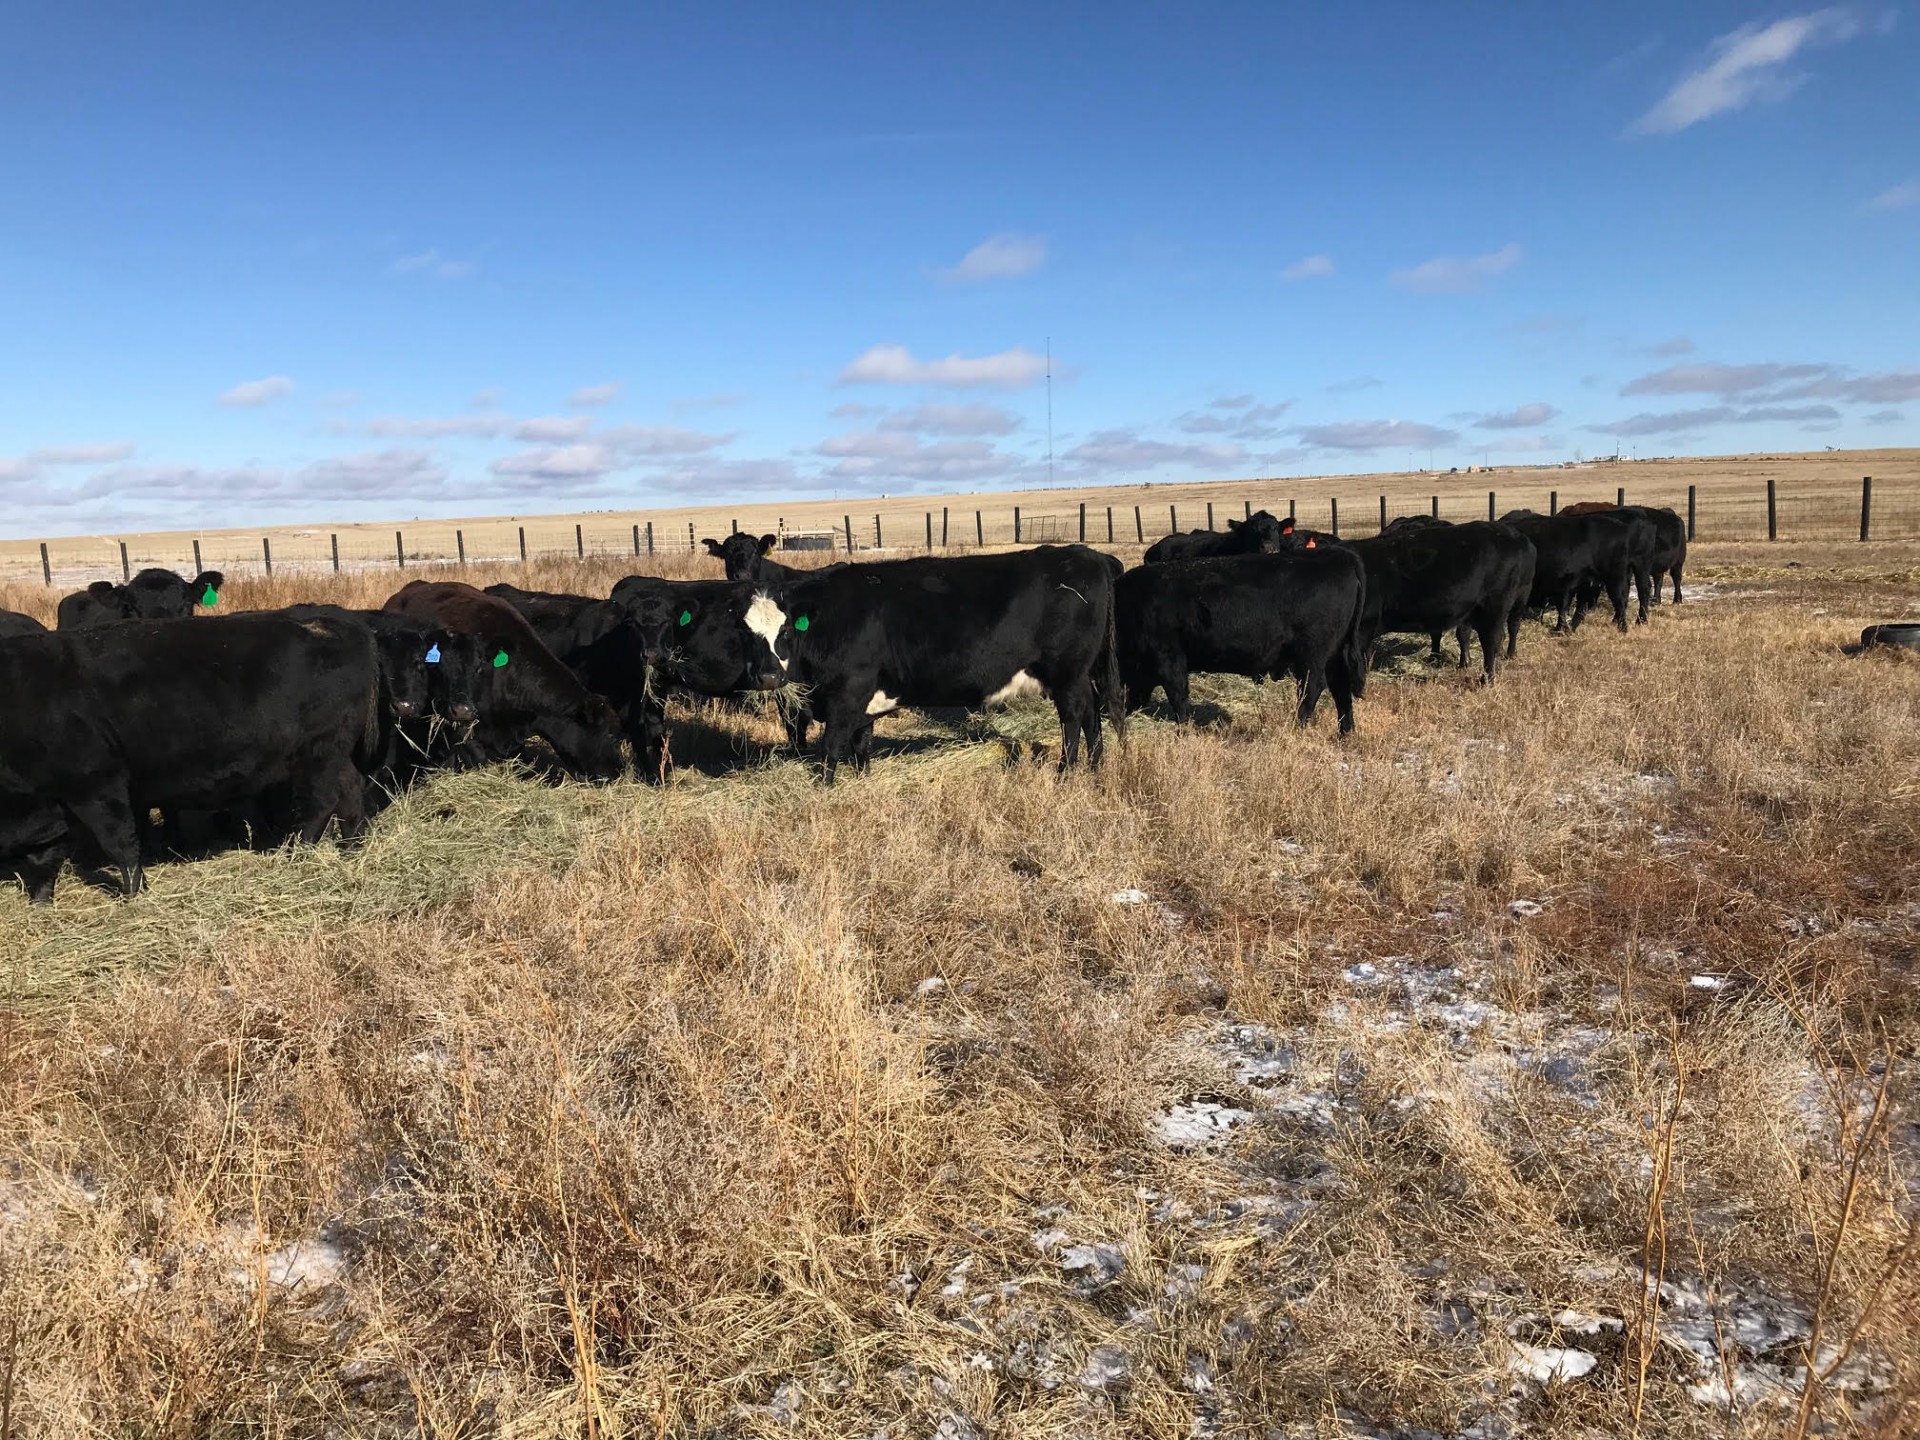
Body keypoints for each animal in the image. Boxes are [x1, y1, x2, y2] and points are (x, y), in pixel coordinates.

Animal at [0, 616, 383, 900]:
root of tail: (328, 624)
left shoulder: (96, 785)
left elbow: (120, 843)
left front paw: (134, 893)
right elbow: (45, 854)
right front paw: (41, 898)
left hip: (318, 753)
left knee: (320, 803)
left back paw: (297, 854)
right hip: (333, 754)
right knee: (350, 789)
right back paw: (352, 845)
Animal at [746, 546, 1123, 782]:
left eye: (786, 631)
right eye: (749, 632)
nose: (768, 676)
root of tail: (1087, 554)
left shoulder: (847, 693)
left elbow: (831, 748)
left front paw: (824, 789)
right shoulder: (862, 699)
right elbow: (861, 746)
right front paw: (862, 781)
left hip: (1066, 672)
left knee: (1073, 716)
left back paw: (1066, 772)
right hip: (1079, 674)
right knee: (1091, 713)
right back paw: (1095, 766)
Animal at [1116, 548, 1366, 733]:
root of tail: (1339, 555)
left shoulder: (1168, 658)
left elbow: (1178, 696)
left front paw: (1183, 730)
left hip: (1312, 654)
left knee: (1311, 688)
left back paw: (1297, 728)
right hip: (1335, 654)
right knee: (1340, 688)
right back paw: (1345, 732)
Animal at [1499, 509, 1655, 632]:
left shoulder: (1565, 582)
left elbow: (1563, 605)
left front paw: (1560, 627)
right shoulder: (1575, 582)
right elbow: (1571, 605)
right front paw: (1564, 628)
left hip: (1623, 572)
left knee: (1627, 595)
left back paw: (1628, 625)